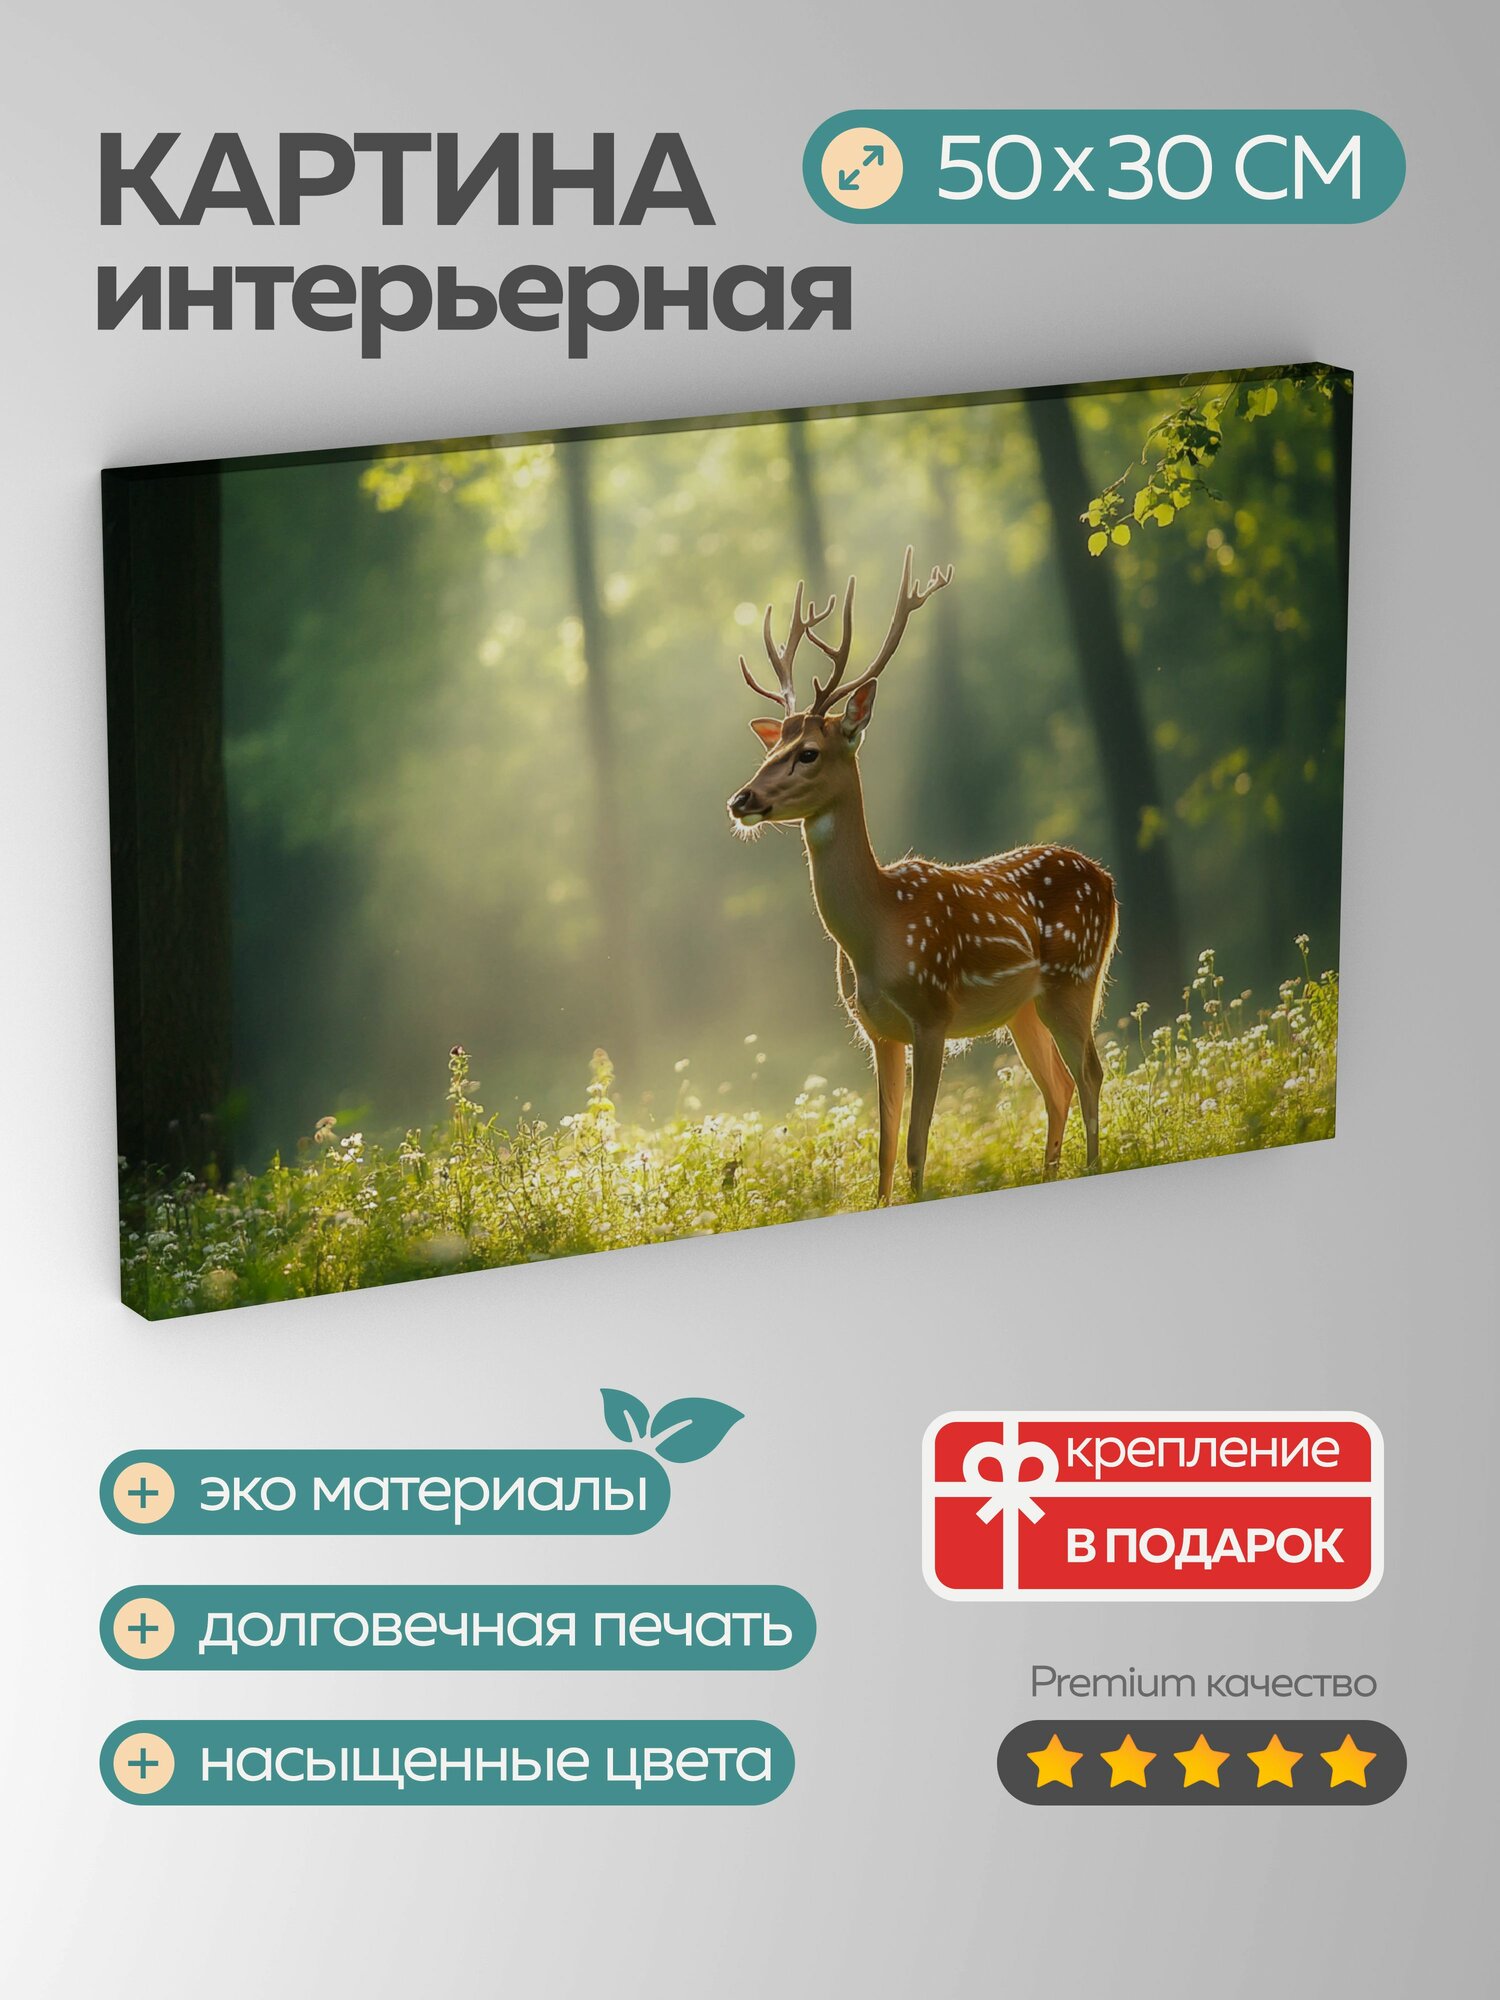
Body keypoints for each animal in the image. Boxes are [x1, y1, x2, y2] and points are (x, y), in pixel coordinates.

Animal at [727, 547, 1118, 1205]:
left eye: (808, 752)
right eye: (767, 749)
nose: (741, 799)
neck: (877, 930)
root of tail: (1110, 880)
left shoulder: (933, 1012)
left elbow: (916, 1144)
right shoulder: (876, 1030)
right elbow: (884, 1150)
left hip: (1075, 976)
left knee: (1090, 1073)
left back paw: (1092, 1168)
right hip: (1024, 1007)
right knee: (1059, 1086)